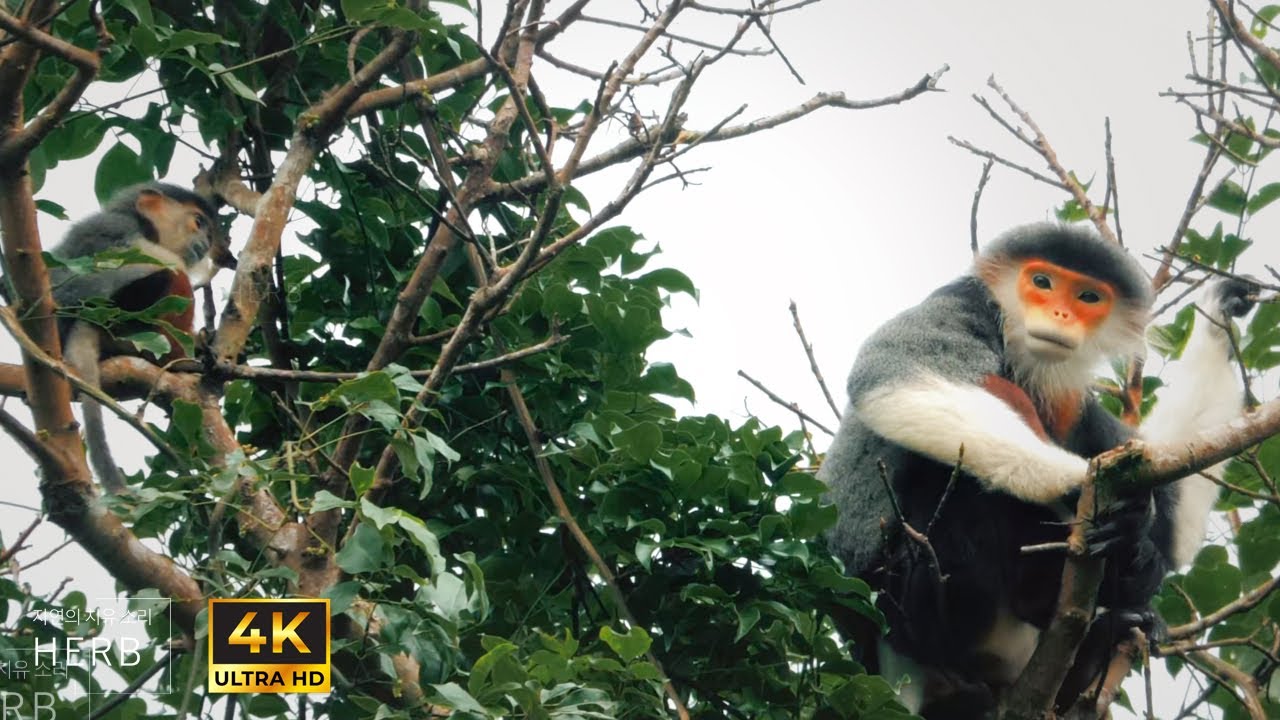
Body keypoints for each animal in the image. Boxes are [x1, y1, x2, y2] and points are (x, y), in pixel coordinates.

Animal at [48, 183, 236, 493]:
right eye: (198, 223)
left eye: (209, 236)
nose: (204, 243)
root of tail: (82, 322)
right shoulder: (119, 227)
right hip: (122, 310)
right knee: (171, 270)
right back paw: (178, 359)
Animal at [818, 223, 1253, 718]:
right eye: (1041, 282)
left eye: (1087, 296)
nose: (1059, 313)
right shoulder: (958, 302)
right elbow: (897, 381)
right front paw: (1093, 494)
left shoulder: (1077, 405)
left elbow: (1169, 505)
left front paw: (1219, 313)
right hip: (900, 595)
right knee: (966, 471)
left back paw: (1120, 611)